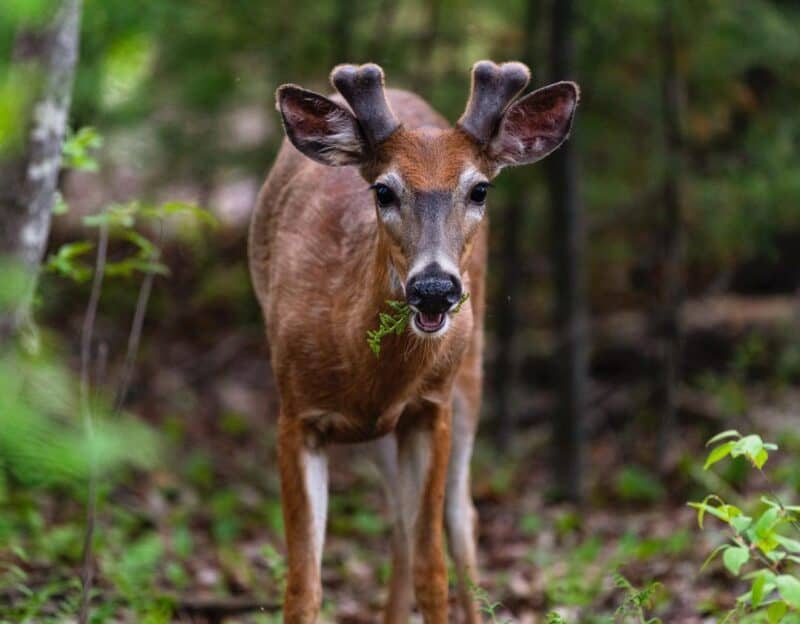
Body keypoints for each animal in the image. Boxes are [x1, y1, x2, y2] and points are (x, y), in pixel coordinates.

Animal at [248, 60, 579, 623]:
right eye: (383, 190)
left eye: (479, 189)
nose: (434, 288)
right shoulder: (295, 414)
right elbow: (303, 585)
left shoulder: (429, 410)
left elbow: (433, 571)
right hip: (384, 432)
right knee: (401, 522)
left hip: (467, 376)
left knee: (461, 518)